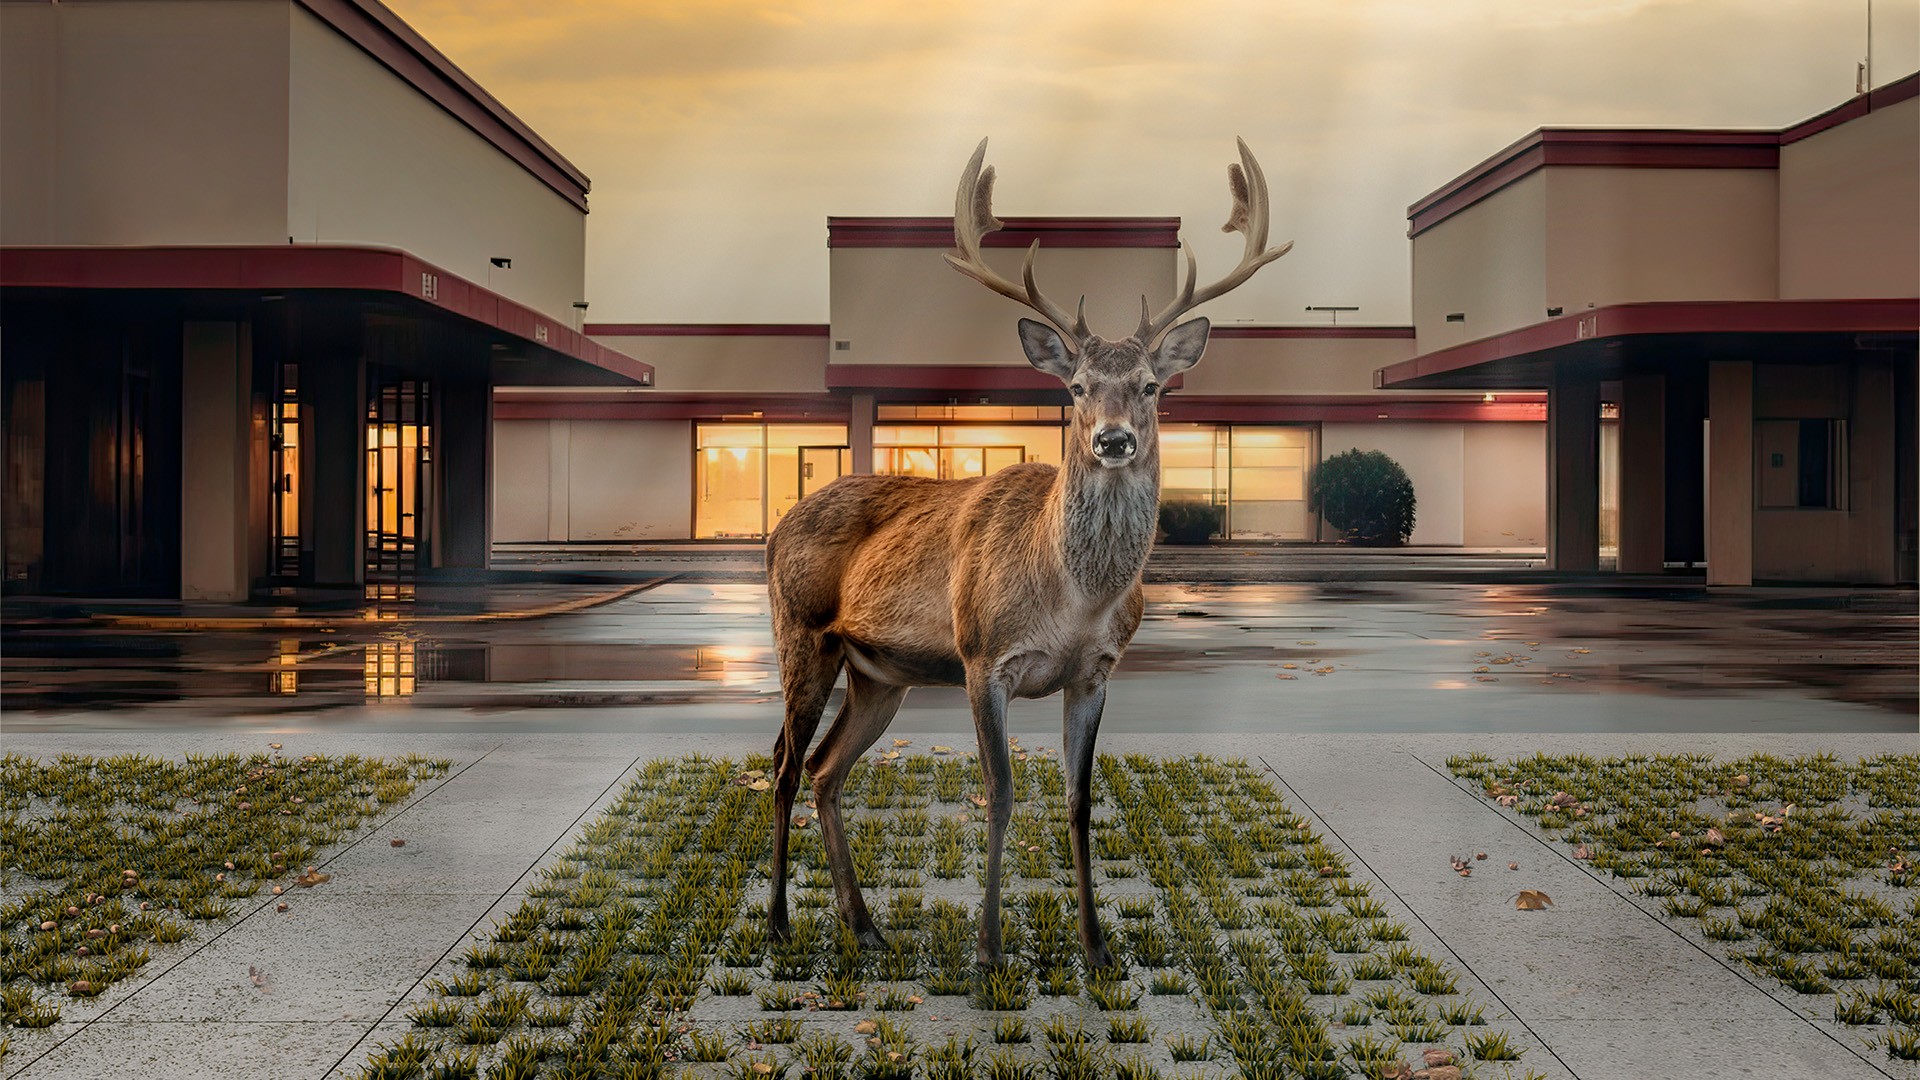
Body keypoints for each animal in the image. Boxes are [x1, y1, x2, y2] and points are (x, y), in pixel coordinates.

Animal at [764, 137, 1292, 968]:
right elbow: (1002, 792)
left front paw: (1098, 949)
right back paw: (780, 922)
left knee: (824, 770)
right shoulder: (984, 656)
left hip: (879, 673)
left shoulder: (1098, 671)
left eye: (1152, 385)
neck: (1074, 600)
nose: (1113, 438)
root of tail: (776, 527)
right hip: (801, 633)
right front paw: (987, 949)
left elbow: (1079, 799)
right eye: (1074, 386)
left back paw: (865, 924)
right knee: (784, 767)